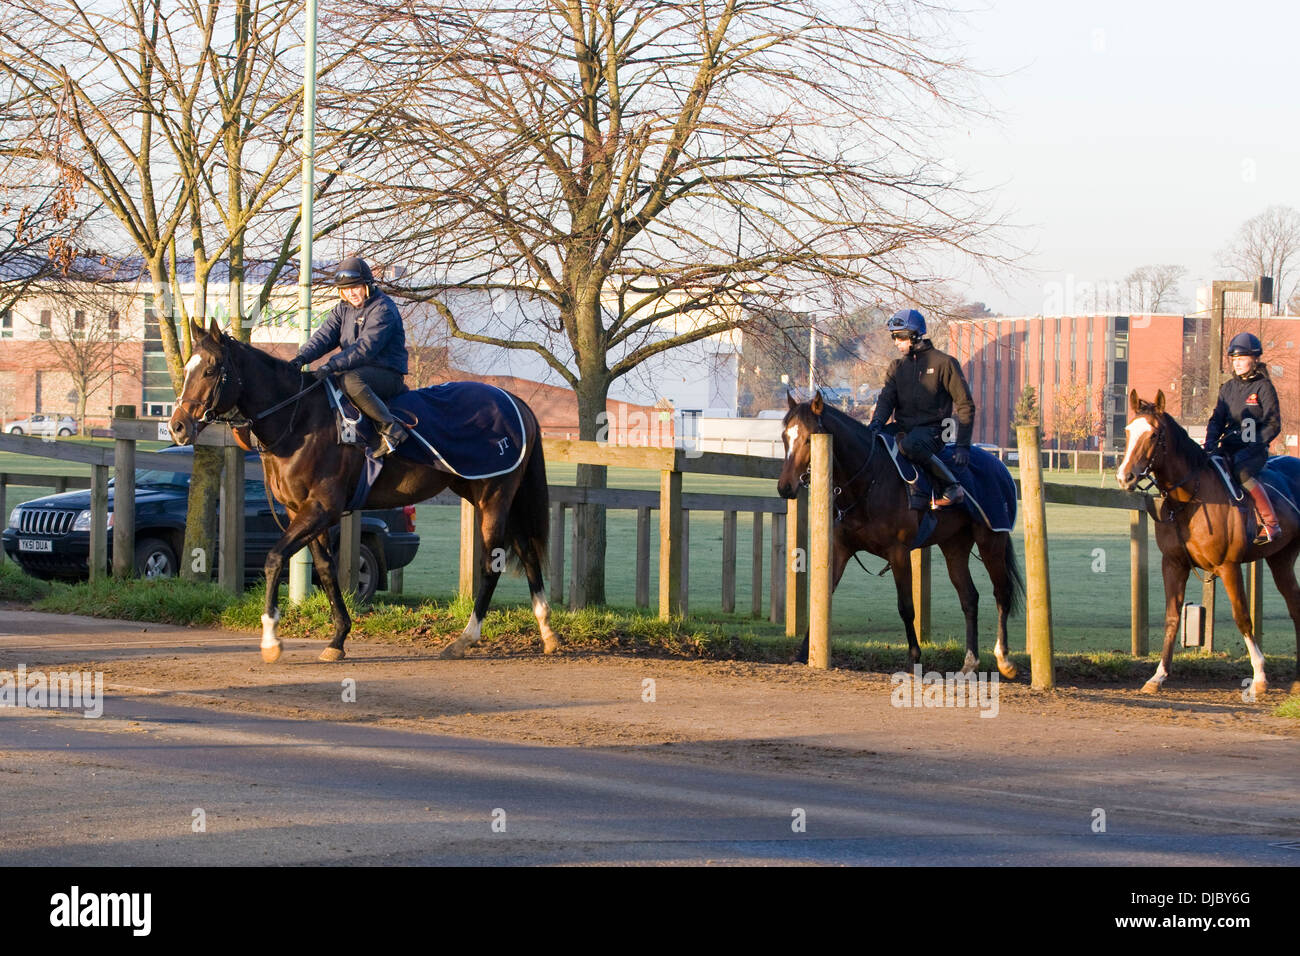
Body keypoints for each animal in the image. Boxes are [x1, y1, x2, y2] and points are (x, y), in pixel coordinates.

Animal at [168, 318, 558, 663]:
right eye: (187, 368)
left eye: (211, 369)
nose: (178, 426)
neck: (300, 420)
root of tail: (515, 401)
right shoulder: (302, 512)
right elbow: (326, 569)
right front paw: (338, 637)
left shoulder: (320, 508)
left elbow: (275, 559)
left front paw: (271, 640)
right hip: (491, 496)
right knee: (526, 551)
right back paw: (547, 631)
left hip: (494, 497)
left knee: (492, 563)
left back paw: (466, 637)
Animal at [777, 392, 1023, 677]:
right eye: (785, 437)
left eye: (809, 438)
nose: (784, 487)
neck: (869, 481)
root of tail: (999, 465)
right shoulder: (841, 549)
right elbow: (824, 594)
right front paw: (802, 653)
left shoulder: (899, 553)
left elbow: (906, 607)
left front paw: (914, 658)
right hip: (955, 546)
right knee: (969, 597)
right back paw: (970, 661)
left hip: (991, 541)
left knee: (1001, 593)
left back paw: (1004, 659)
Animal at [1116, 389, 1300, 696]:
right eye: (1128, 431)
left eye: (1154, 434)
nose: (1125, 476)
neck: (1190, 499)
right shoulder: (1174, 564)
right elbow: (1172, 617)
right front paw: (1158, 675)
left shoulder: (1228, 566)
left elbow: (1242, 617)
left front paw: (1260, 677)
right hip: (1281, 559)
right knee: (1296, 606)